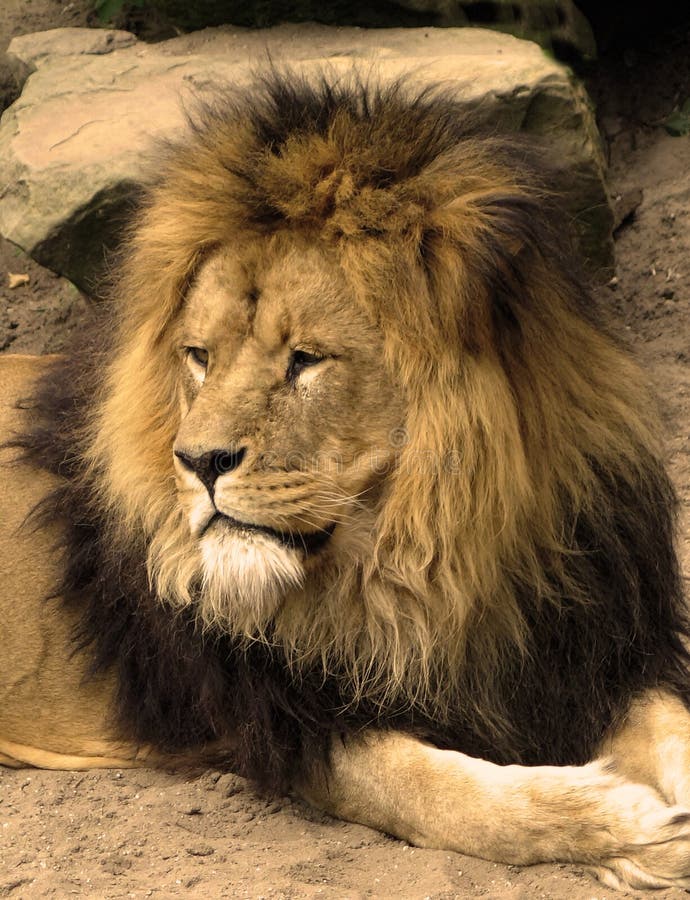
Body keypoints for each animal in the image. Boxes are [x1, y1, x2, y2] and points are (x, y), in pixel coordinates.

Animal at [2, 74, 690, 891]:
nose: (196, 461)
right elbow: (448, 798)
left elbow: (674, 724)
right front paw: (630, 825)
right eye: (199, 356)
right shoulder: (290, 725)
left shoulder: (596, 645)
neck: (432, 562)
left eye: (305, 359)